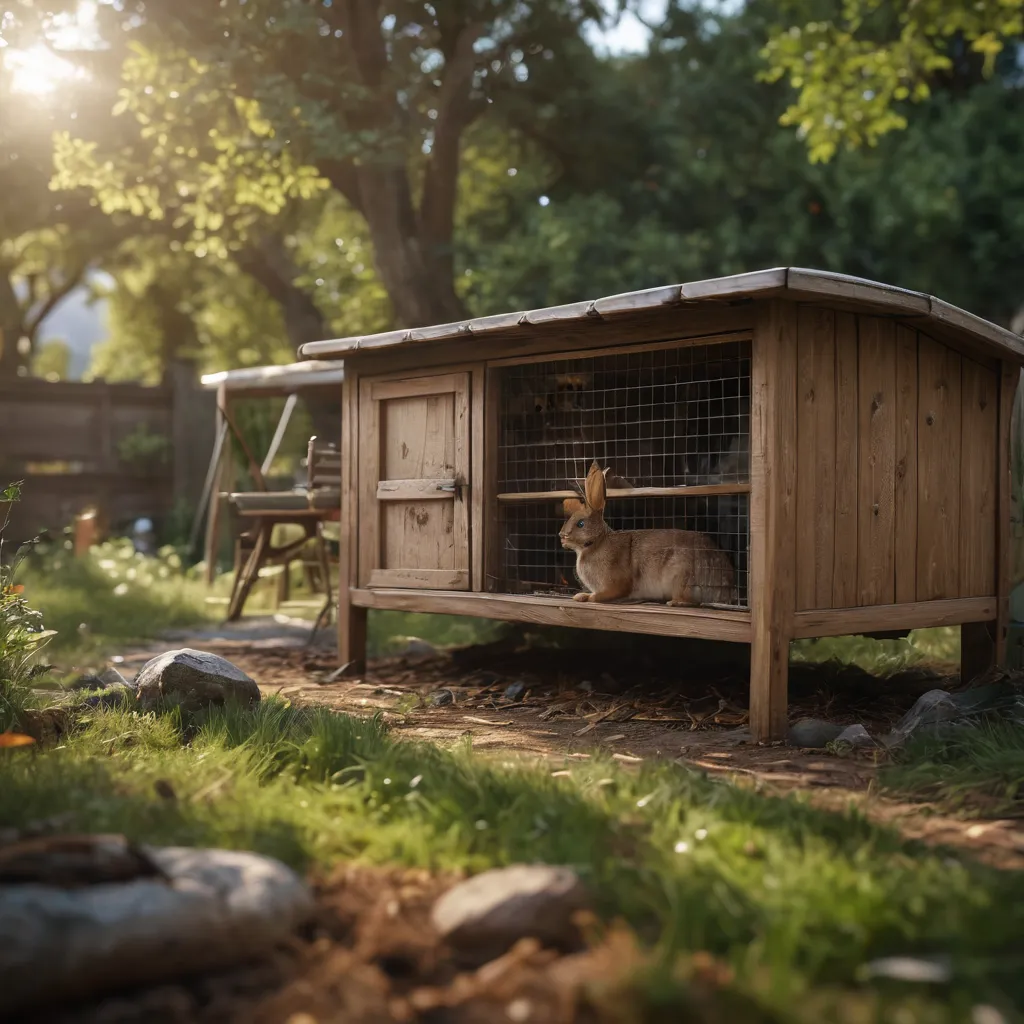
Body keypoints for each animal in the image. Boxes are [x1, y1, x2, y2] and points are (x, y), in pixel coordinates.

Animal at [558, 462, 737, 606]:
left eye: (581, 524)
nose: (561, 536)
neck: (597, 542)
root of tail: (726, 587)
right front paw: (580, 596)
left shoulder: (615, 584)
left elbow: (602, 596)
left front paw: (586, 597)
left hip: (681, 578)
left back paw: (674, 602)